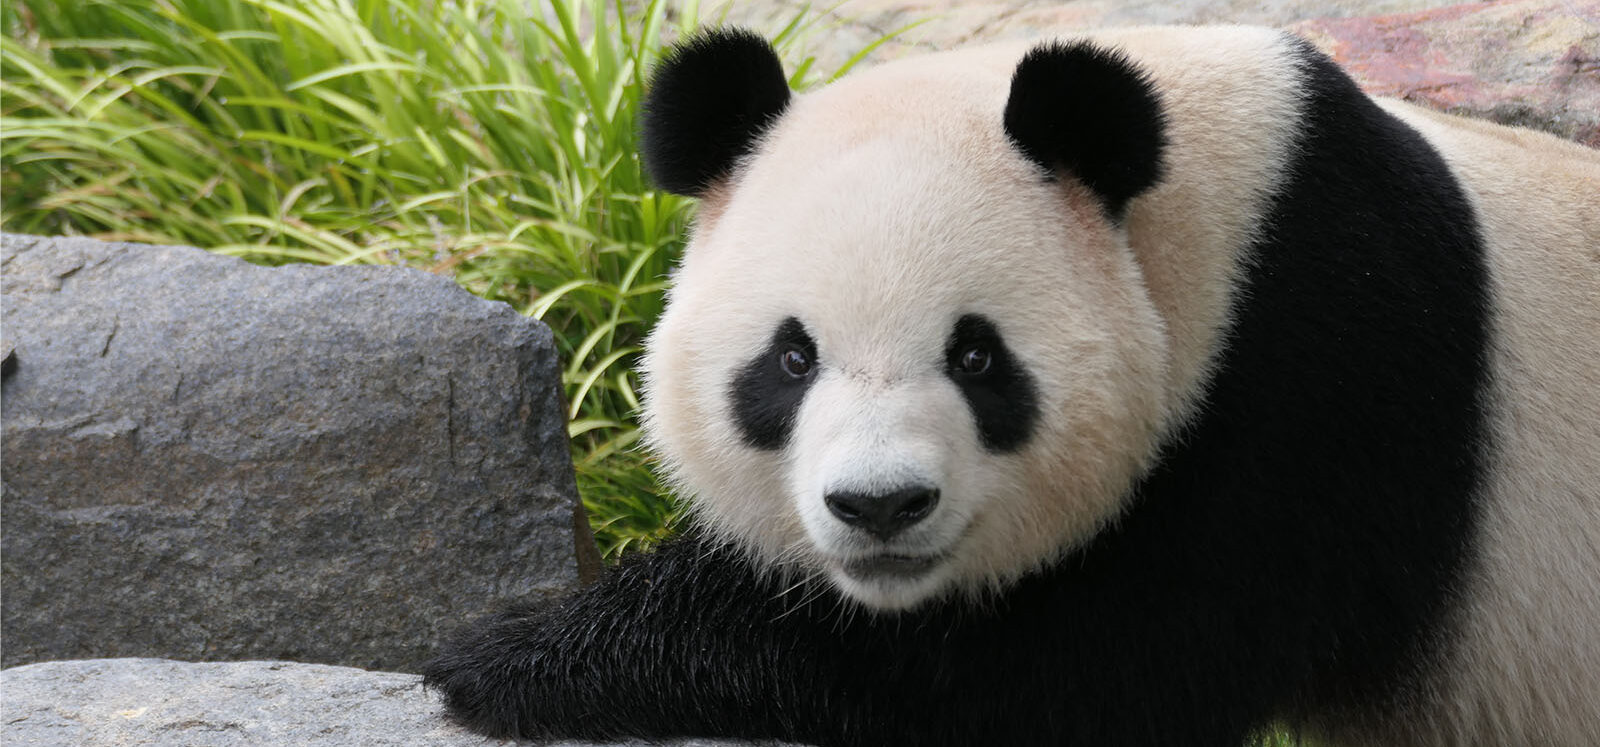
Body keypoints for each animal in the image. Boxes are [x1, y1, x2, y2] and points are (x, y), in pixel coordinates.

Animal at [425, 25, 1600, 747]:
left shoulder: (1316, 380)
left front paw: (510, 656)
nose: (881, 506)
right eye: (792, 359)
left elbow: (1076, 672)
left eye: (977, 356)